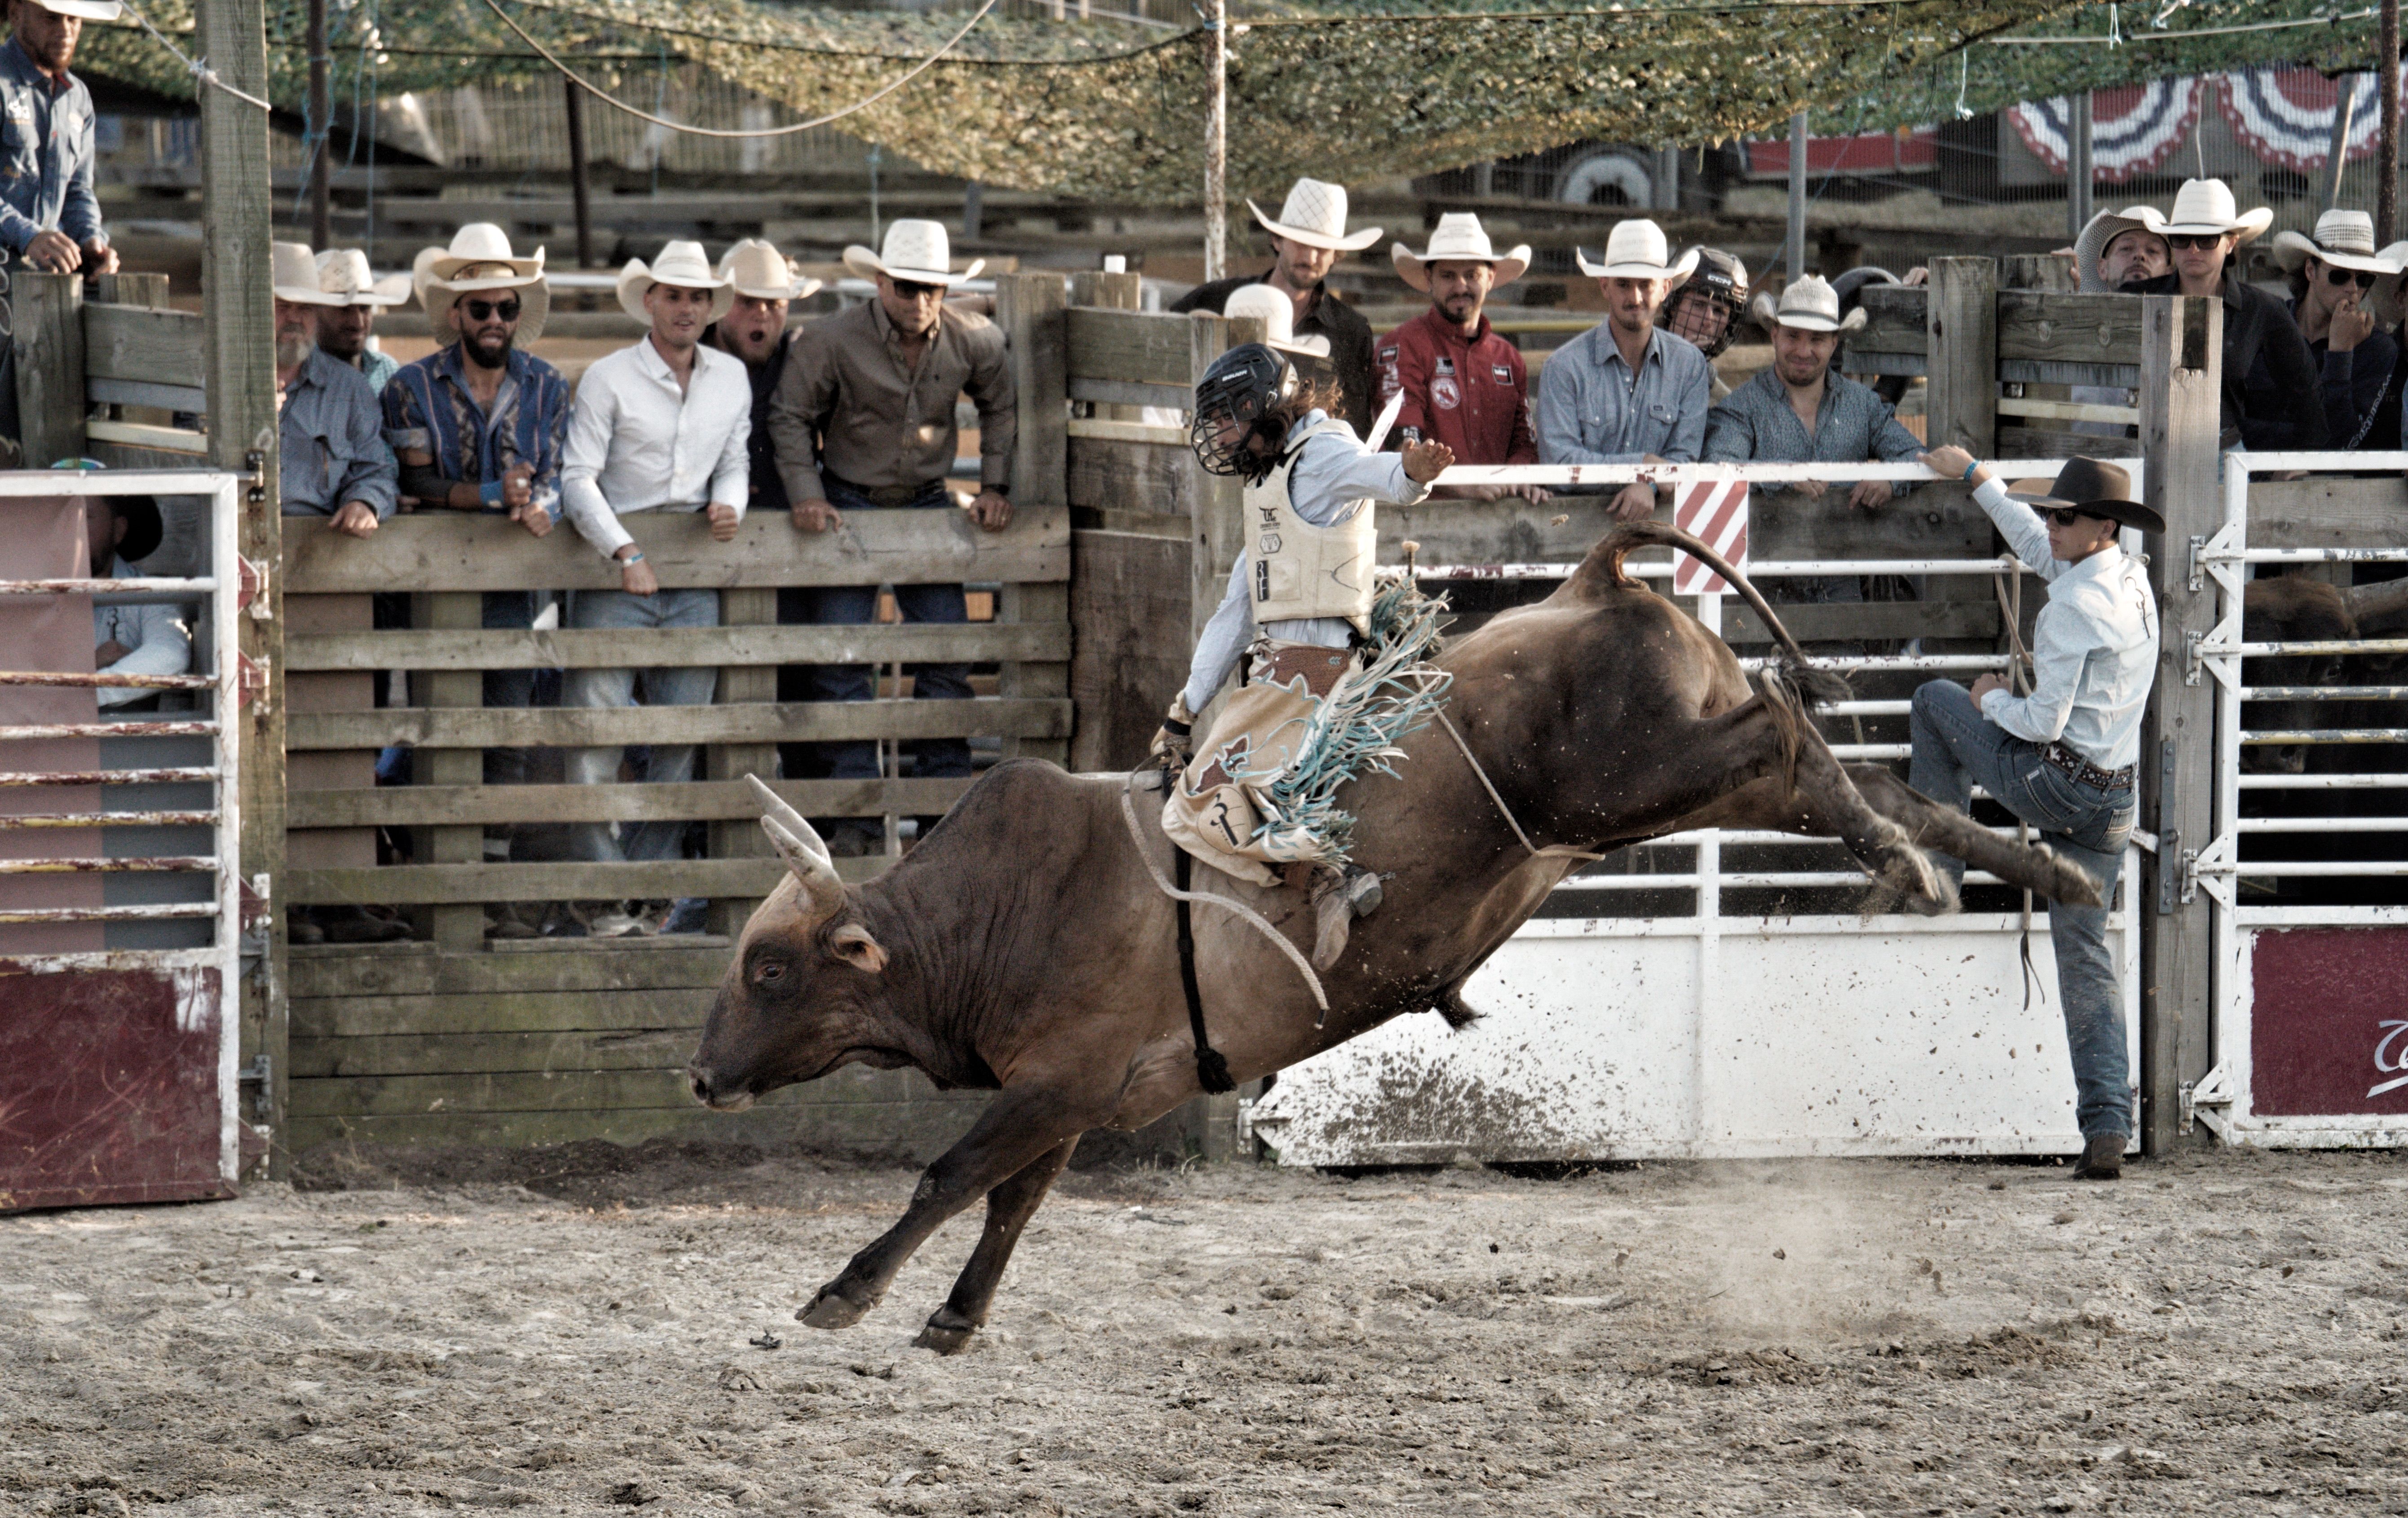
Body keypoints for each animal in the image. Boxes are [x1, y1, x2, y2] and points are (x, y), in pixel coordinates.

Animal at [686, 522, 2100, 1355]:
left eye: (770, 966)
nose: (699, 1075)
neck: (1003, 911)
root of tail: (1591, 578)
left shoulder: (1054, 1083)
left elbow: (948, 1177)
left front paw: (846, 1292)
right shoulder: (1078, 1097)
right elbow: (1008, 1202)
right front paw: (954, 1316)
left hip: (1627, 782)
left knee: (1785, 727)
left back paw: (1930, 853)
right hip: (1667, 789)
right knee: (1864, 782)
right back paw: (2018, 866)